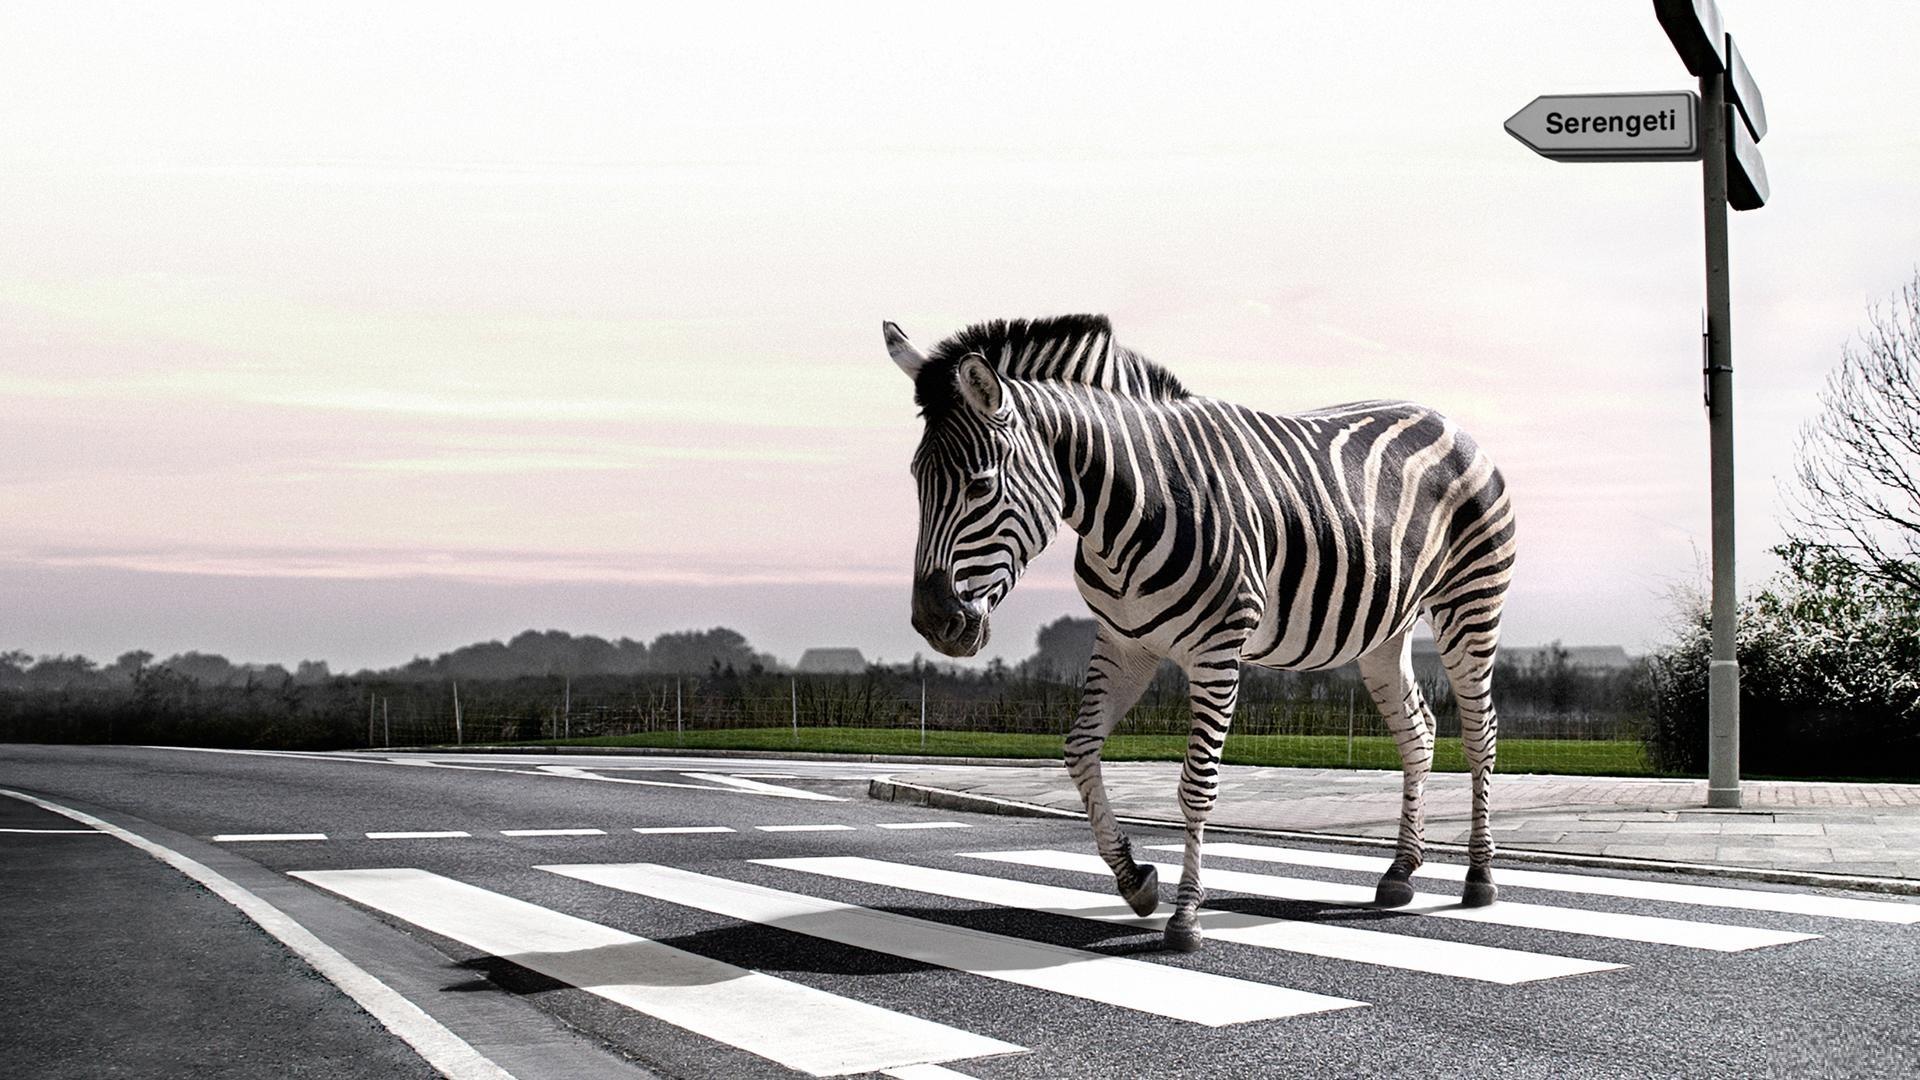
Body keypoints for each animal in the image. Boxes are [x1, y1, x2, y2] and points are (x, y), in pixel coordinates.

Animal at [885, 313, 1516, 952]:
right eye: (916, 479)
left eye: (980, 485)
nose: (933, 622)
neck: (1130, 508)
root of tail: (1446, 420)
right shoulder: (1124, 644)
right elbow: (1080, 752)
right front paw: (1136, 880)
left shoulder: (1218, 650)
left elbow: (1196, 784)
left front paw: (1186, 914)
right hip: (1385, 632)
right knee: (1419, 732)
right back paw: (1400, 871)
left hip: (1470, 604)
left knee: (1480, 733)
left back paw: (1479, 876)